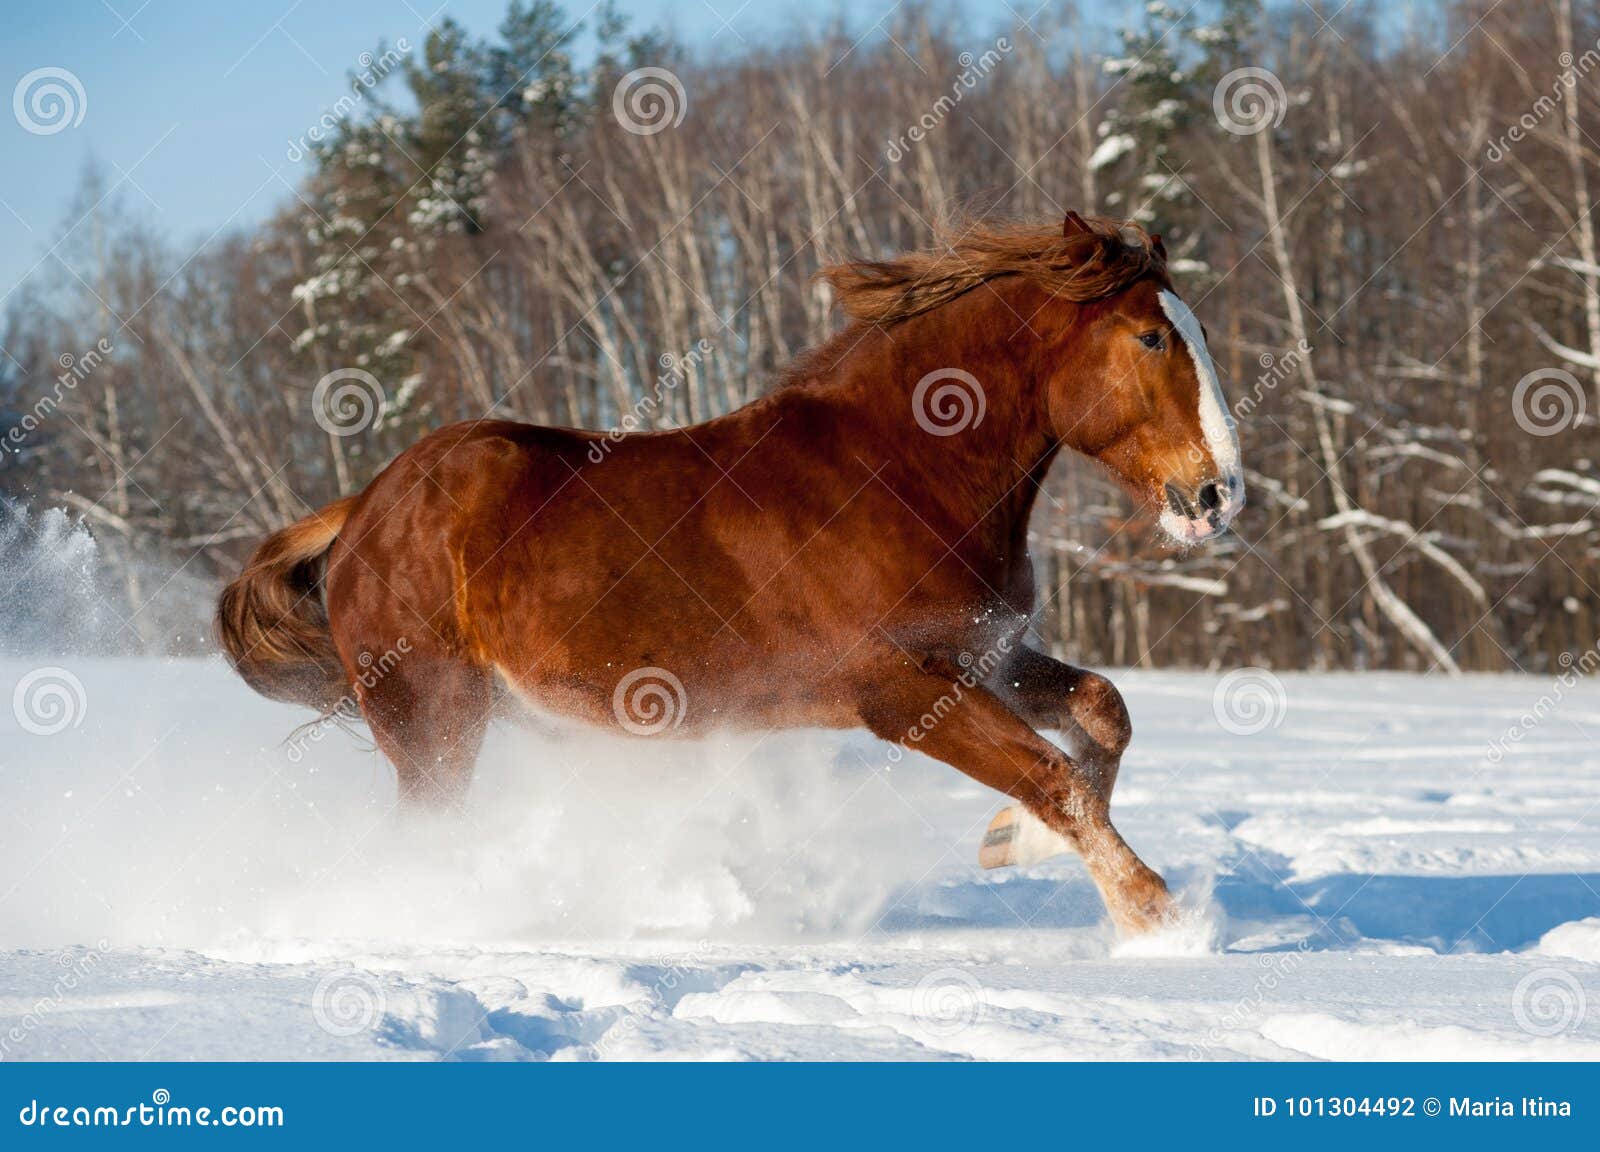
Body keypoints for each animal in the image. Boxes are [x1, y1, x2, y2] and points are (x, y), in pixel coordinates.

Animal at [217, 211, 1243, 936]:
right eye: (1152, 338)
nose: (1217, 493)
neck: (898, 471)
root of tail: (364, 508)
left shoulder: (984, 653)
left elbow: (1102, 713)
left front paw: (1006, 845)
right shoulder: (899, 689)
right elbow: (1052, 776)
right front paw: (1158, 922)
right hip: (435, 720)